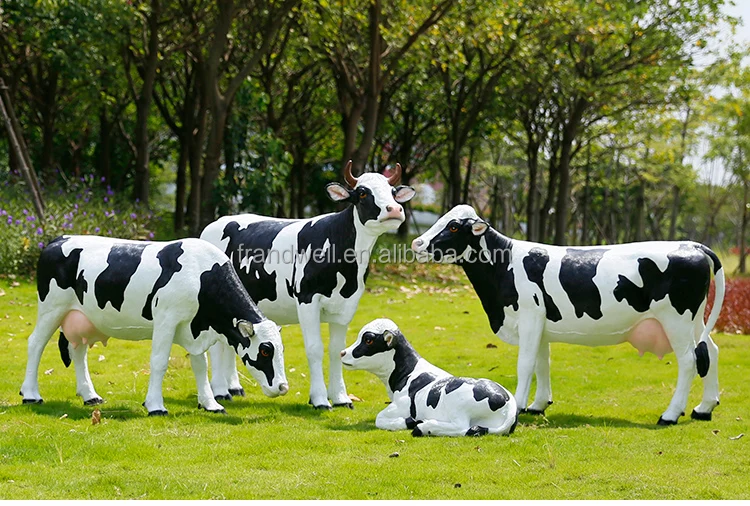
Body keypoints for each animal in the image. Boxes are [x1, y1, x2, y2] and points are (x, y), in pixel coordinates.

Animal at [19, 235, 288, 416]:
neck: (201, 275)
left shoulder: (194, 328)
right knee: (35, 344)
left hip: (83, 318)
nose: (283, 387)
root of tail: (58, 239)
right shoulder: (166, 319)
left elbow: (201, 365)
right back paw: (31, 395)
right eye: (265, 350)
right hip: (51, 308)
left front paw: (210, 403)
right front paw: (155, 406)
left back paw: (90, 396)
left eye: (280, 349)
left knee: (78, 351)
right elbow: (159, 362)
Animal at [200, 161, 416, 409]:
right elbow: (315, 349)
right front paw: (320, 399)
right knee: (217, 345)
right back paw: (220, 390)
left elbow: (336, 350)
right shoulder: (307, 299)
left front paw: (341, 398)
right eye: (362, 193)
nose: (394, 209)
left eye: (392, 192)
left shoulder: (347, 304)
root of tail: (217, 222)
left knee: (229, 342)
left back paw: (233, 387)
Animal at [340, 318, 518, 437]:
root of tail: (507, 401)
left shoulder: (401, 406)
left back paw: (423, 427)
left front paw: (409, 422)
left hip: (457, 405)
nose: (343, 352)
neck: (407, 372)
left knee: (461, 428)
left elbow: (379, 418)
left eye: (368, 340)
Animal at [411, 205, 725, 425]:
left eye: (453, 226)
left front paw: (519, 404)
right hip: (694, 320)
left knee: (689, 360)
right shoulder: (540, 325)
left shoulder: (529, 317)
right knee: (709, 351)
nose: (416, 244)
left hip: (676, 318)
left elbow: (525, 365)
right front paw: (538, 405)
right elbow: (542, 363)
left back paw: (670, 414)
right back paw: (703, 409)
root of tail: (691, 244)